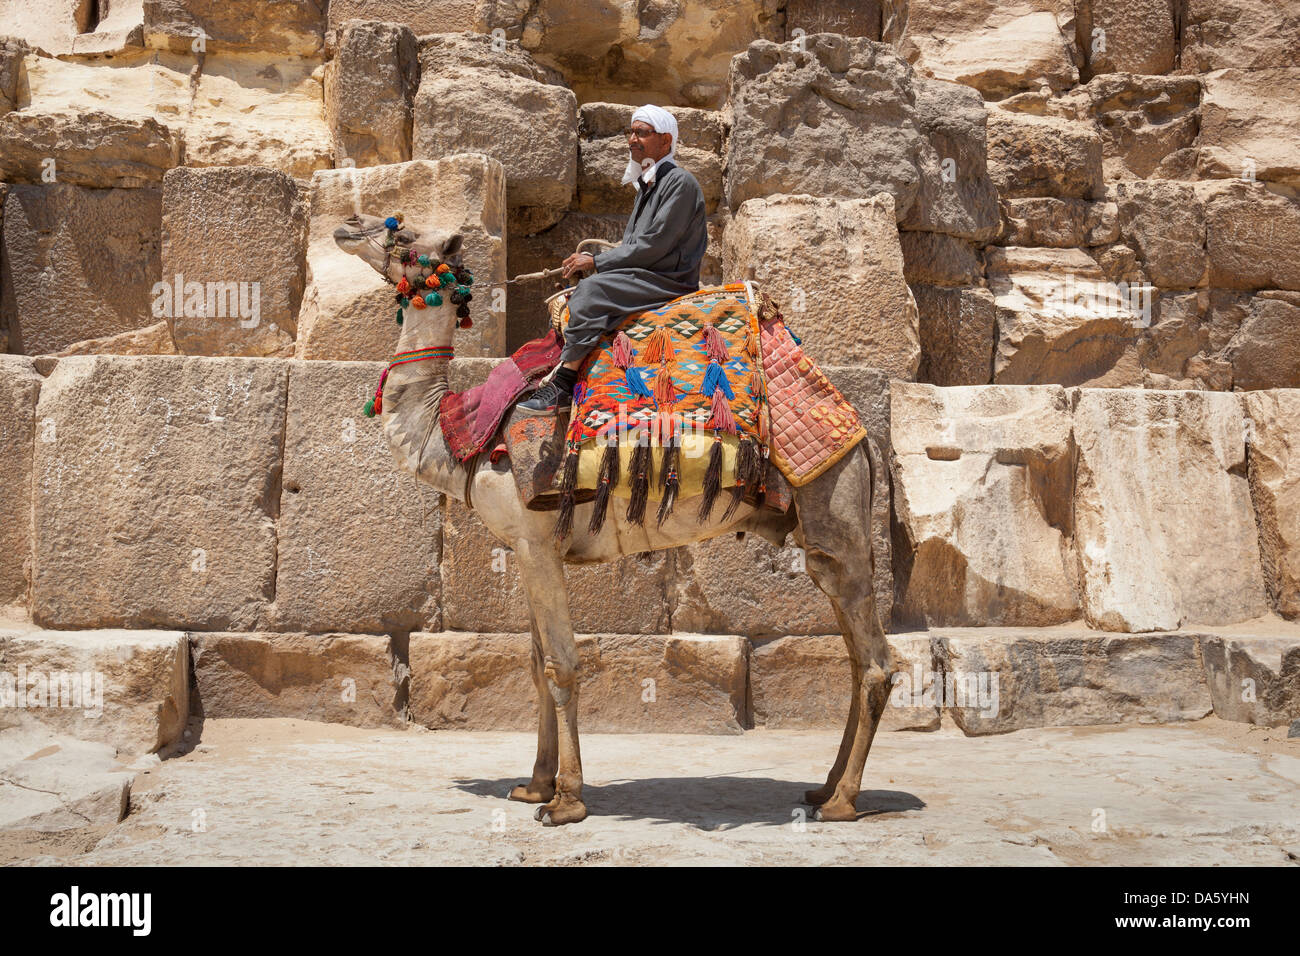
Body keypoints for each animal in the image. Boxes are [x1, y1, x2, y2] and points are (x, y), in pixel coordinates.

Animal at [333, 213, 895, 826]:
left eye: (405, 235)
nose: (347, 225)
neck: (463, 435)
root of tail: (862, 435)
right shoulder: (531, 548)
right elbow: (535, 663)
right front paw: (534, 785)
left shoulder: (534, 541)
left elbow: (560, 666)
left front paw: (566, 800)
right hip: (824, 537)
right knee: (853, 655)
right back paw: (824, 787)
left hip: (835, 506)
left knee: (875, 662)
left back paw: (841, 801)